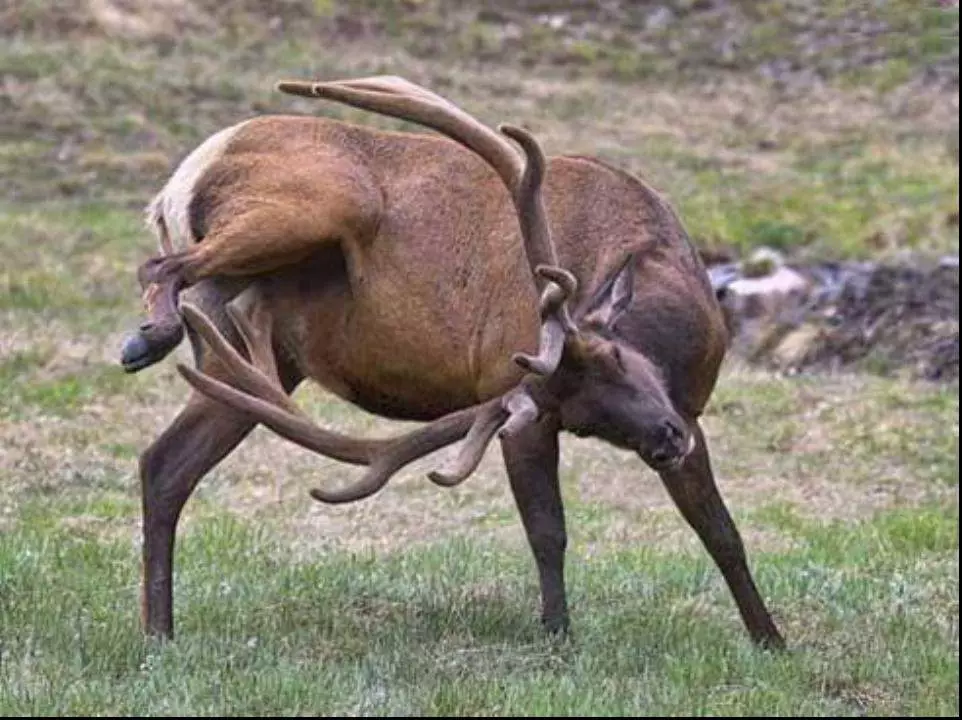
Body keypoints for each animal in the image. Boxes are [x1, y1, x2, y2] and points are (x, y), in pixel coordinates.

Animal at [118, 74, 780, 648]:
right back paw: (149, 336)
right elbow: (548, 530)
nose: (664, 439)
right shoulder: (519, 405)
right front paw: (558, 635)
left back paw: (159, 632)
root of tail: (178, 182)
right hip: (325, 202)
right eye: (583, 415)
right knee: (160, 270)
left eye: (616, 356)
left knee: (166, 462)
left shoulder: (688, 409)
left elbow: (720, 530)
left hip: (257, 364)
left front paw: (770, 638)